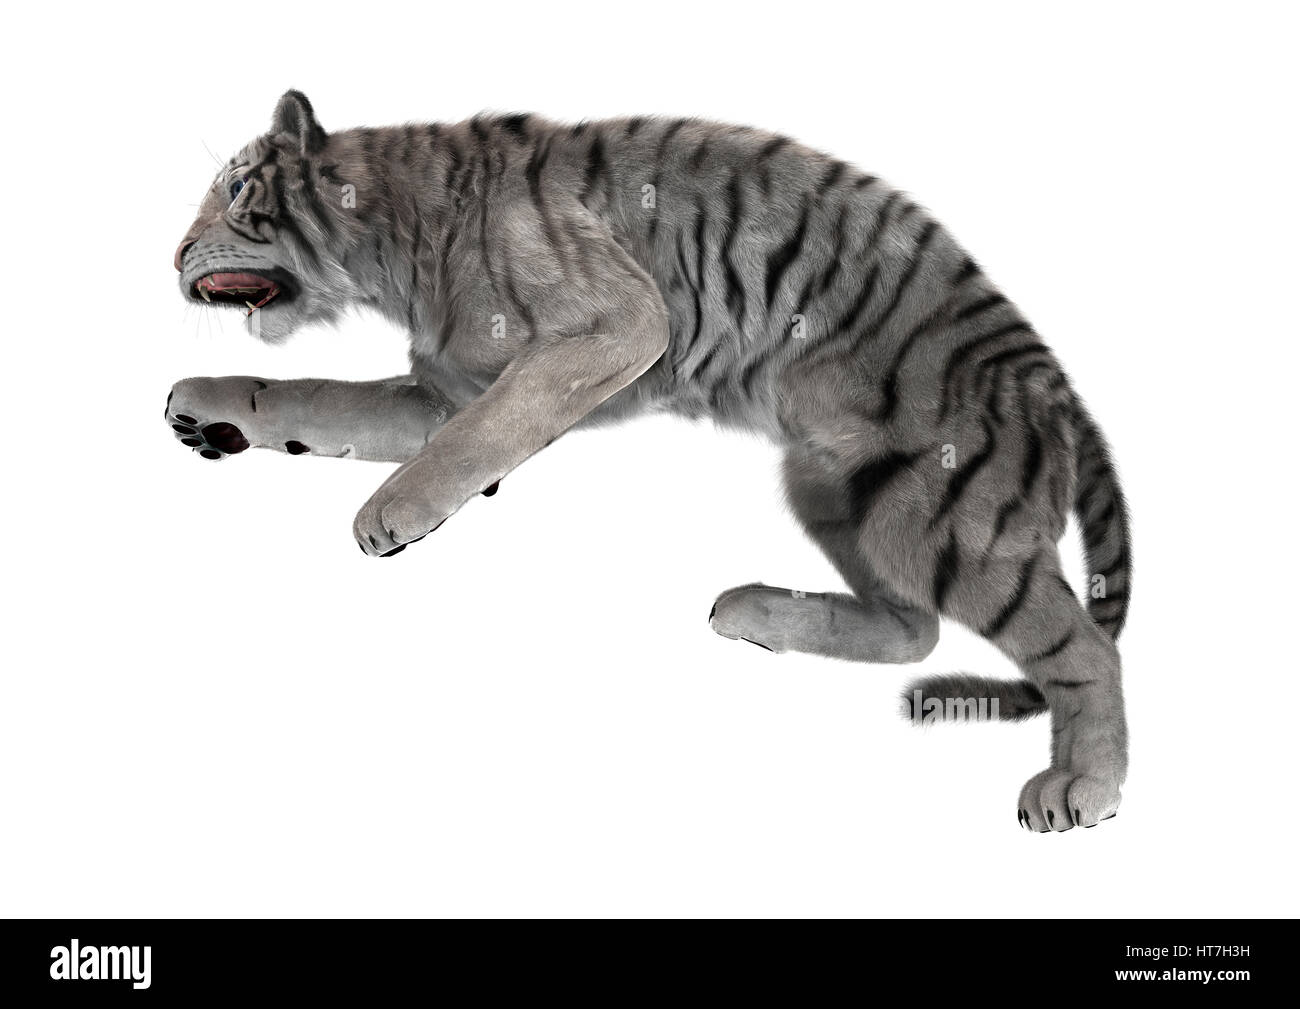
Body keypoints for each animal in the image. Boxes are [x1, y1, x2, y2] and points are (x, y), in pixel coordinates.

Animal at [169, 91, 1131, 831]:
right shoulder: (440, 387)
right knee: (913, 629)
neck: (392, 244)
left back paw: (1084, 784)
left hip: (935, 520)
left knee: (1082, 646)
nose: (174, 254)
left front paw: (393, 512)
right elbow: (304, 396)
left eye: (237, 188)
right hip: (833, 486)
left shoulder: (616, 324)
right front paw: (207, 409)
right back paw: (756, 613)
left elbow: (481, 433)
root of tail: (1057, 386)